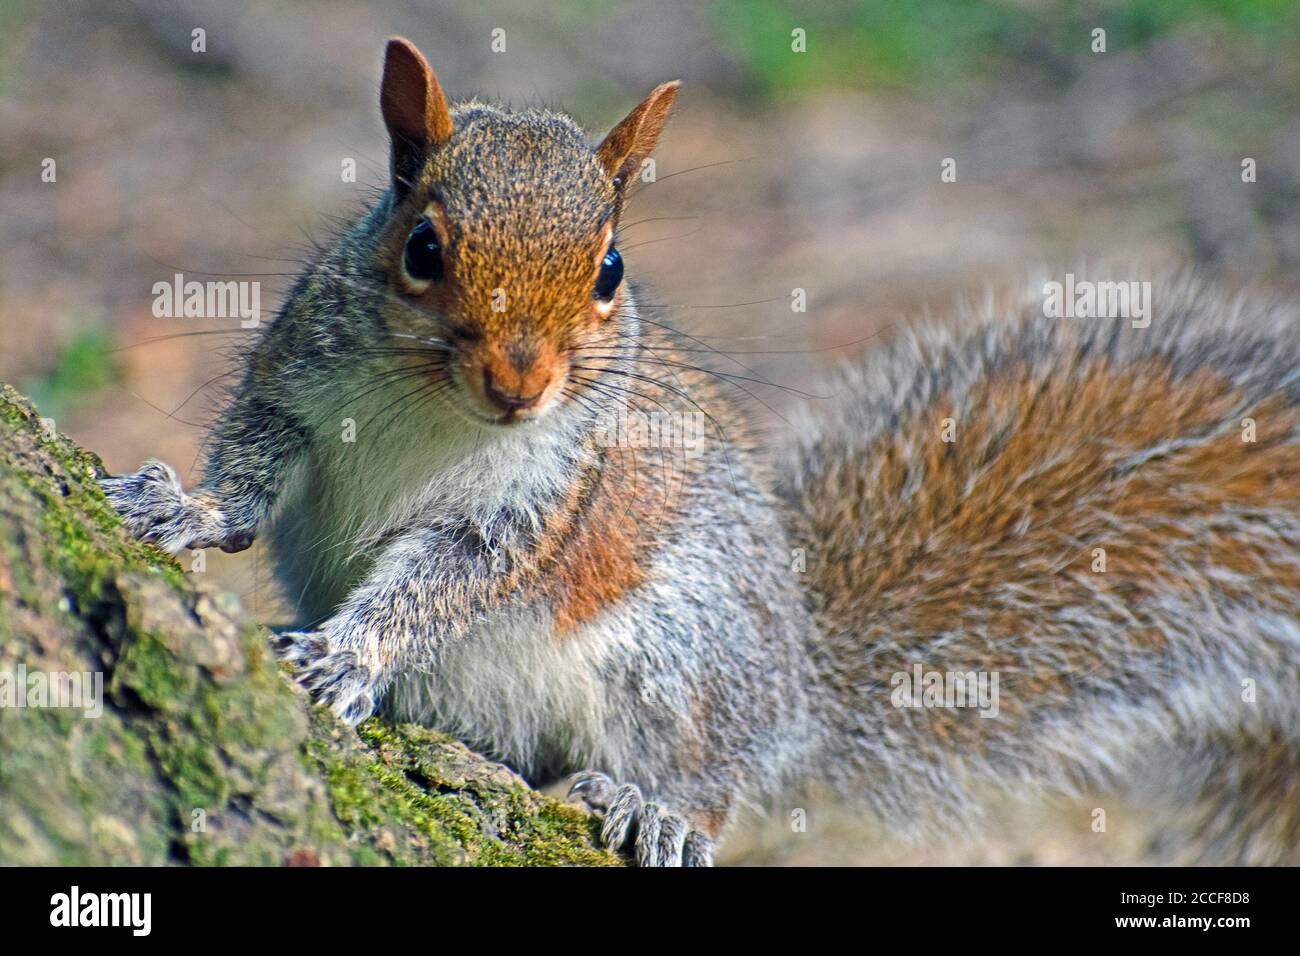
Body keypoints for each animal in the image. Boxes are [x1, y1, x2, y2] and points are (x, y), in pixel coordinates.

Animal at [100, 37, 1300, 866]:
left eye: (611, 269)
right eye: (421, 247)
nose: (520, 384)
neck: (435, 413)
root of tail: (798, 702)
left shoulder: (552, 497)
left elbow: (452, 578)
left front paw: (353, 652)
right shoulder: (297, 382)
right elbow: (250, 474)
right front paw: (180, 509)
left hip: (678, 657)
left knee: (717, 778)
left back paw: (659, 806)